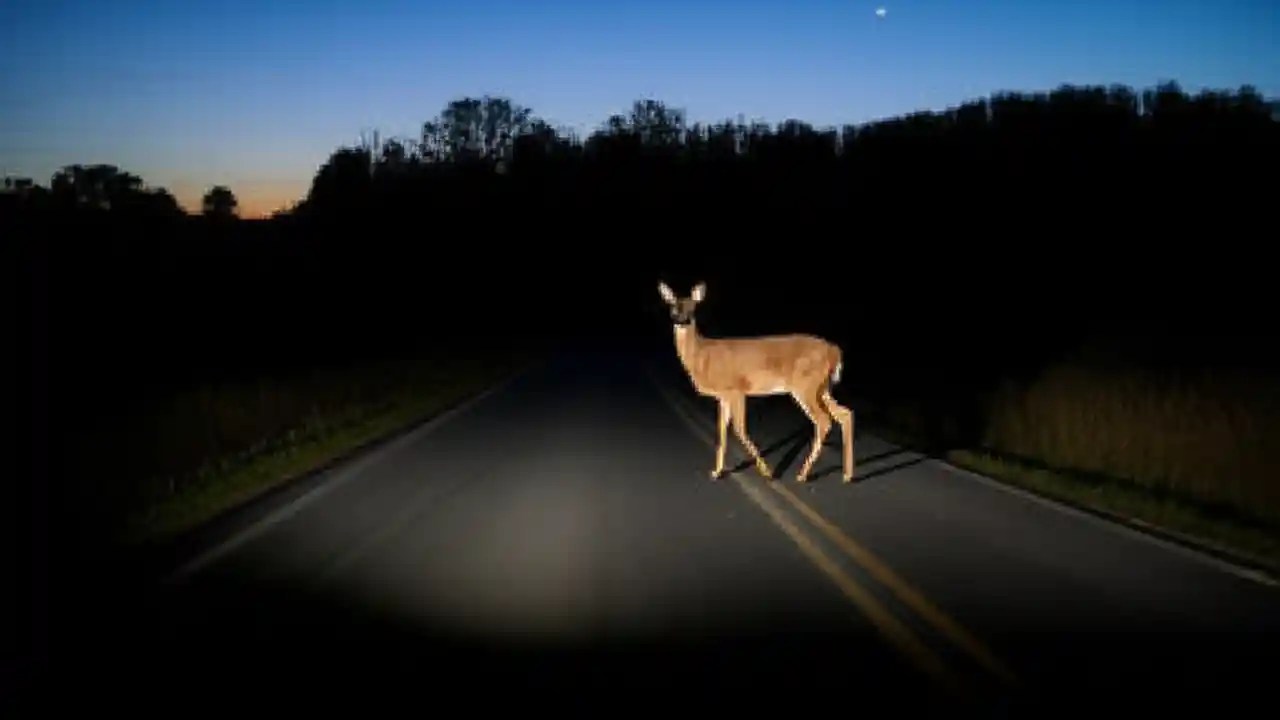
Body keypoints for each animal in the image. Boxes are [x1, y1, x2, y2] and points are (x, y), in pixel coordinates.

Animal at [658, 280, 855, 484]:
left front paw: (767, 472)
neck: (702, 357)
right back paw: (847, 475)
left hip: (806, 386)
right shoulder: (723, 396)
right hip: (822, 388)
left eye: (692, 308)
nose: (680, 319)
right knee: (845, 414)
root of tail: (834, 351)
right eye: (672, 306)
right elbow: (721, 431)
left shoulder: (736, 389)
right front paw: (716, 472)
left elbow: (739, 429)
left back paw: (802, 474)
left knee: (824, 421)